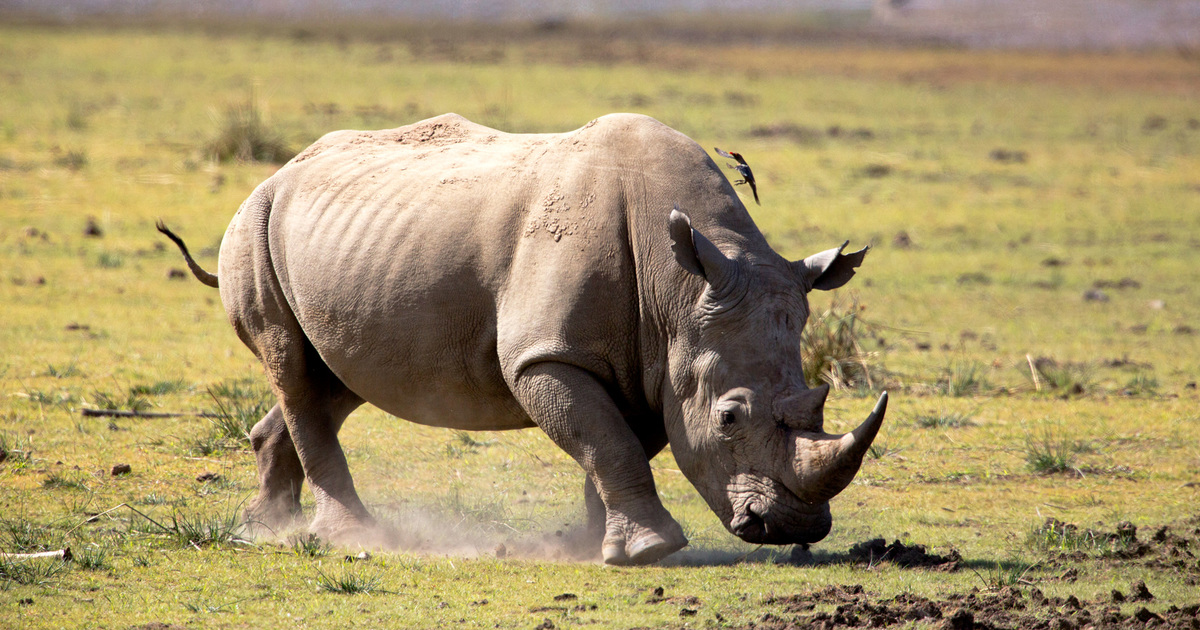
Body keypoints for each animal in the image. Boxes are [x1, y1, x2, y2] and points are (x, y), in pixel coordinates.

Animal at [160, 112, 886, 565]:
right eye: (730, 418)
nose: (792, 528)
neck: (680, 291)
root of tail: (280, 170)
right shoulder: (549, 355)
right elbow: (608, 441)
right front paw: (649, 552)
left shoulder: (653, 364)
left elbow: (615, 444)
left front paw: (595, 546)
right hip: (253, 224)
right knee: (293, 366)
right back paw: (350, 536)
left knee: (331, 377)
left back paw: (265, 528)